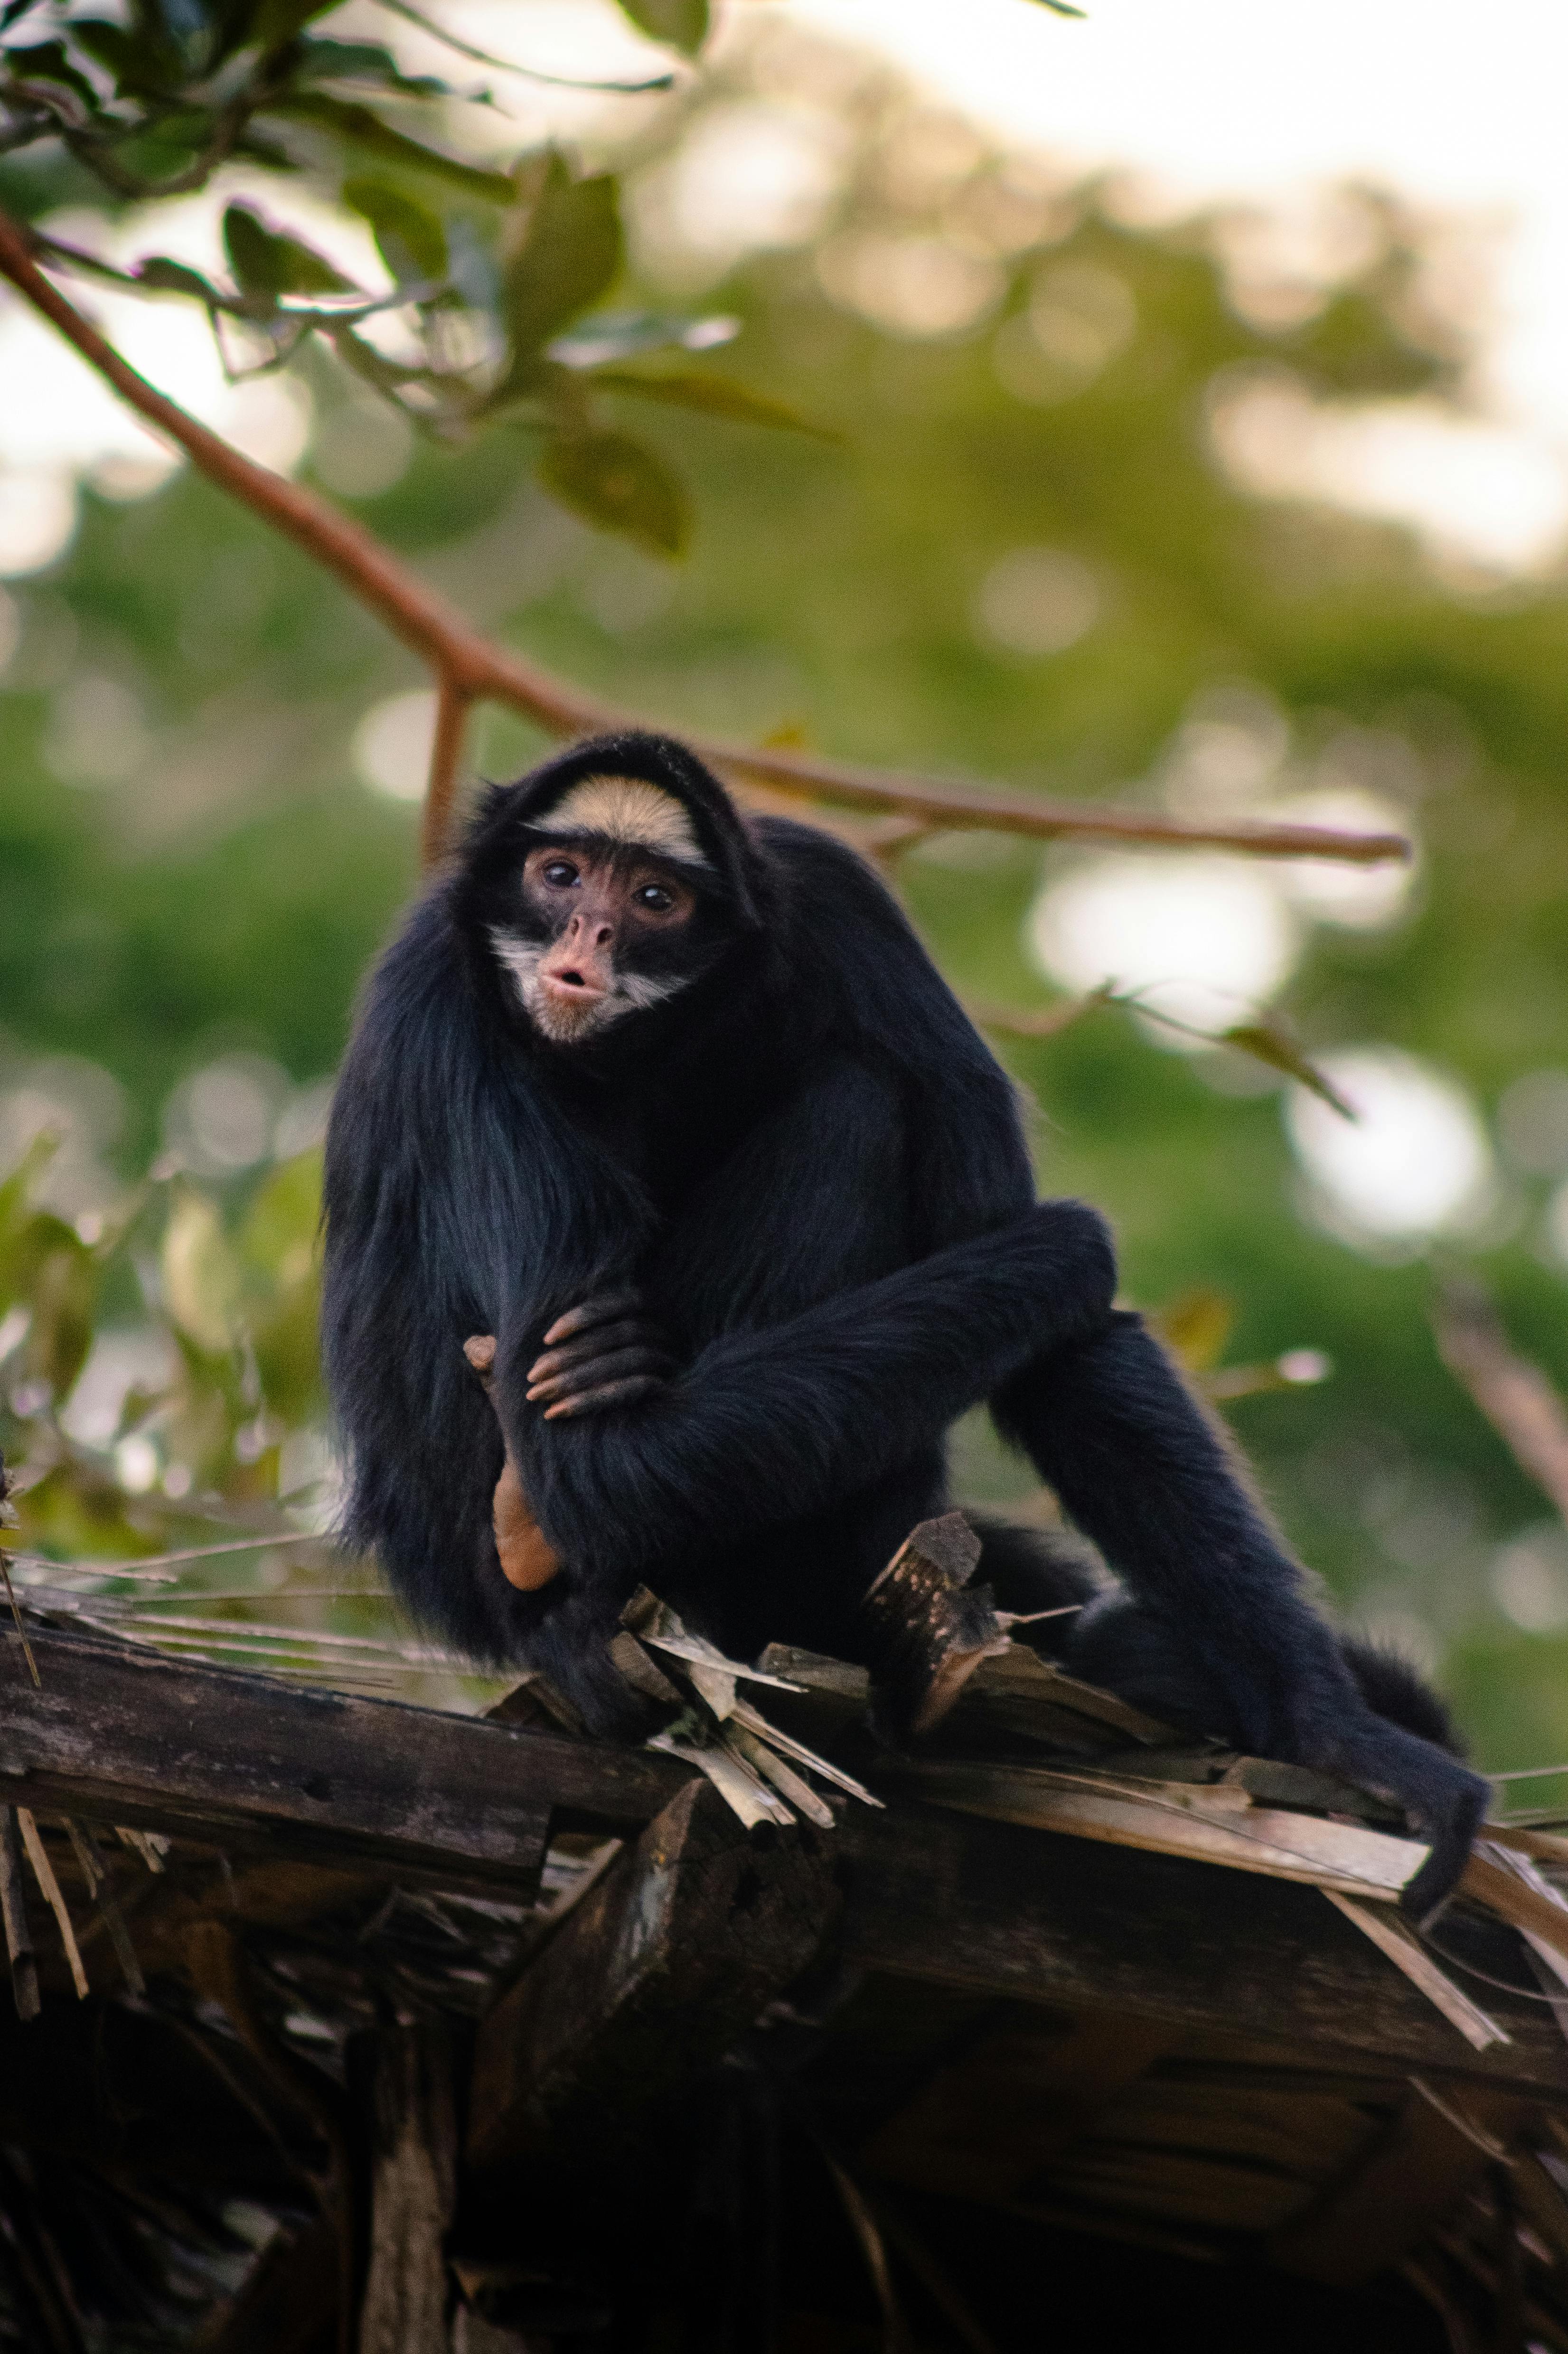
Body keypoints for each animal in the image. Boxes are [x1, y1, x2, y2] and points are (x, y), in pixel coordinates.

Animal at [321, 731, 1486, 1921]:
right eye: (559, 876)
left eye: (652, 899)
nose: (586, 938)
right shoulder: (445, 995)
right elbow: (597, 1464)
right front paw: (1072, 1244)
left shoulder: (837, 898)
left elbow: (1063, 1337)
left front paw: (1330, 1729)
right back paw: (540, 1537)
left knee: (860, 1098)